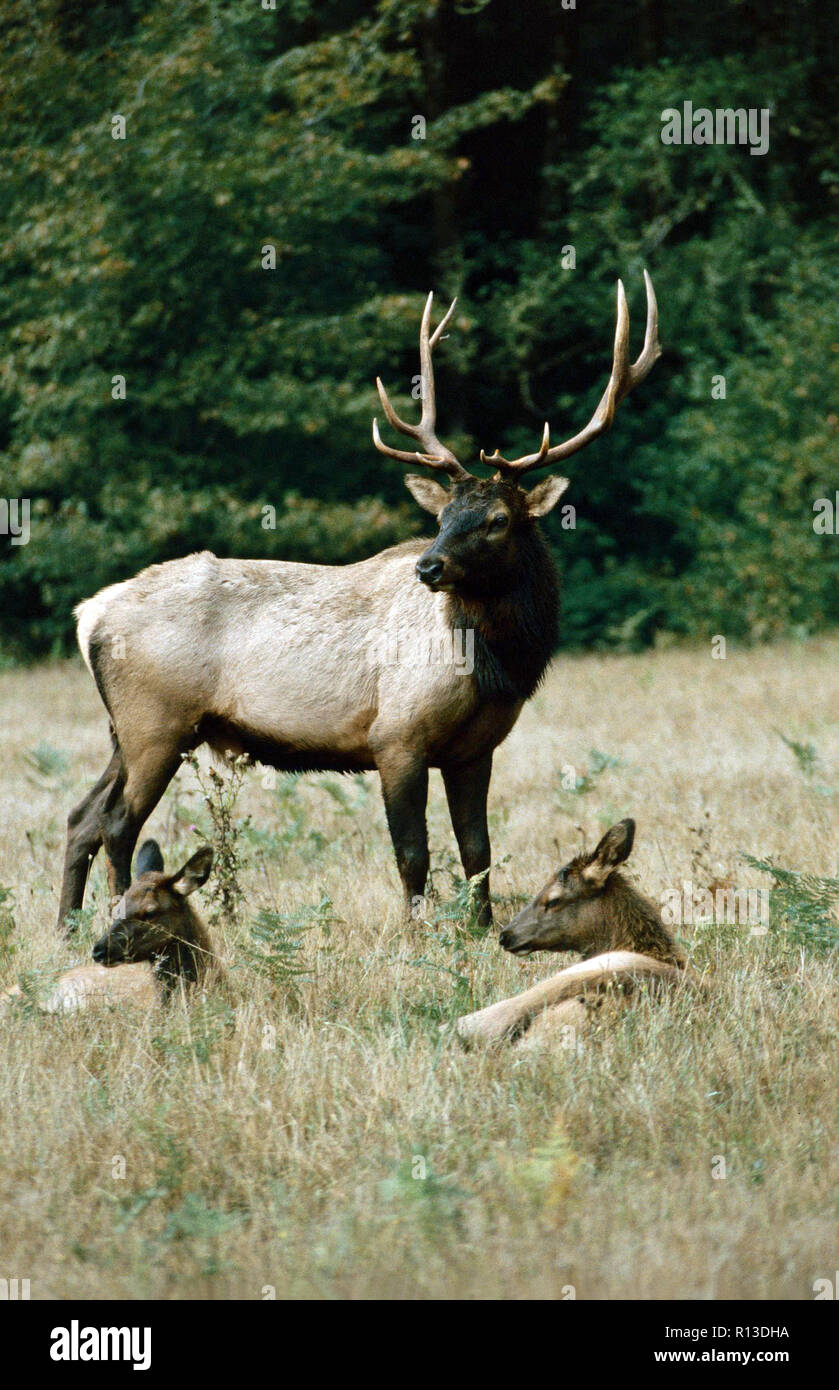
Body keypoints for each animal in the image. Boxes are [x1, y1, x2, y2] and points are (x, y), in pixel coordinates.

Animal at [56, 274, 660, 936]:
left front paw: (479, 931)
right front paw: (418, 937)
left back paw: (65, 928)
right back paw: (117, 918)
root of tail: (90, 615)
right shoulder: (395, 735)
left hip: (125, 727)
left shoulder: (475, 749)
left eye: (498, 519)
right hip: (156, 721)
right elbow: (413, 852)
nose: (429, 567)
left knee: (81, 817)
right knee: (118, 824)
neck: (493, 666)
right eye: (443, 517)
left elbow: (478, 851)